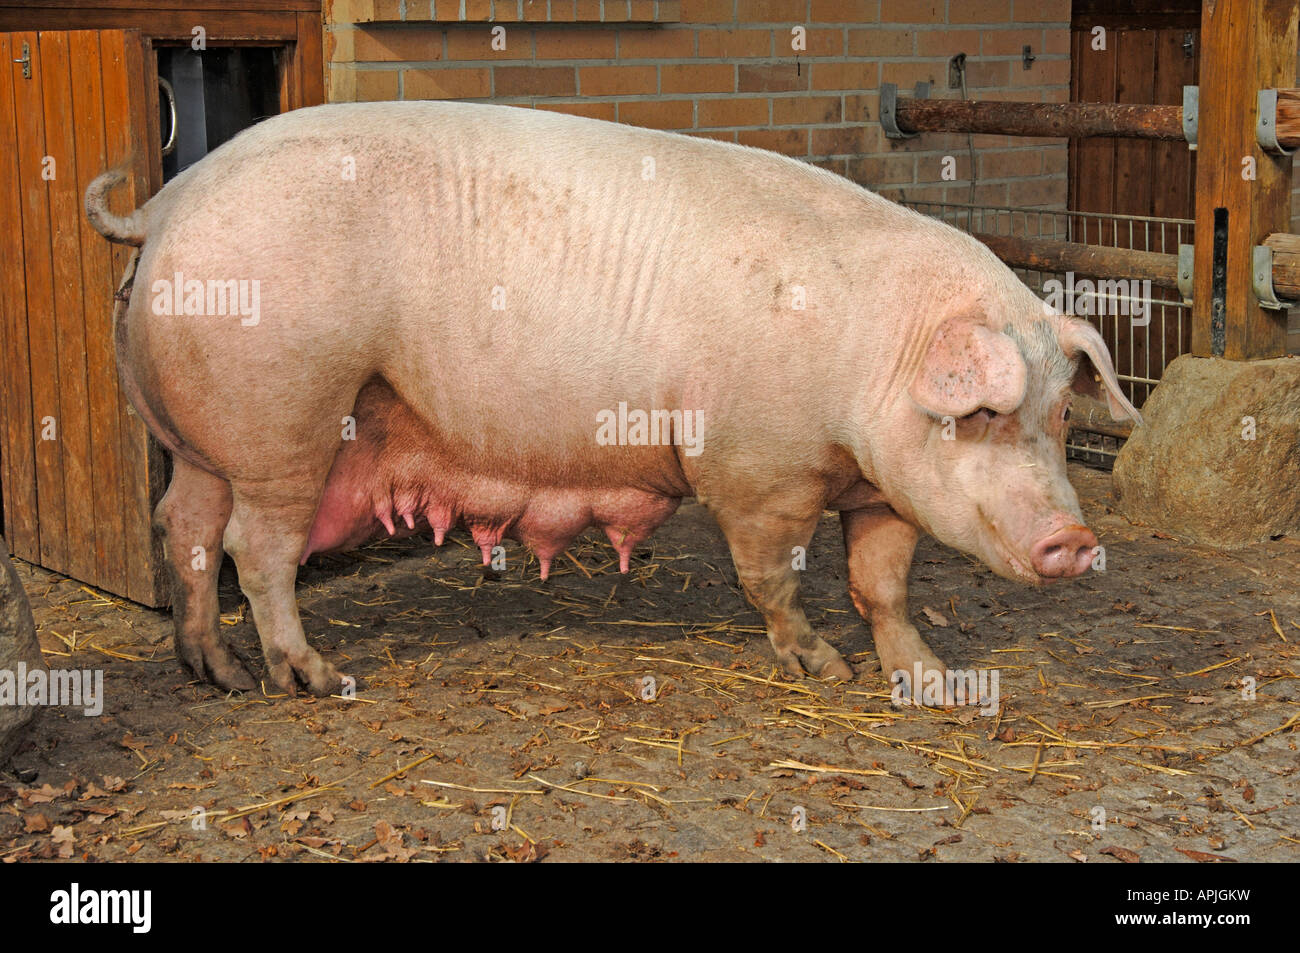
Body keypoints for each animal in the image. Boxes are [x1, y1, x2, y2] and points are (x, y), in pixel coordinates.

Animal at [85, 101, 1140, 703]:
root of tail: (167, 203)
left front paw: (935, 682)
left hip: (203, 438)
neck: (874, 358)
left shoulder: (879, 489)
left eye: (1057, 415)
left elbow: (881, 585)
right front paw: (822, 669)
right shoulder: (759, 472)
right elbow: (773, 578)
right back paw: (315, 678)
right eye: (981, 413)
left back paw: (212, 673)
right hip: (283, 420)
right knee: (253, 550)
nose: (1076, 540)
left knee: (180, 521)